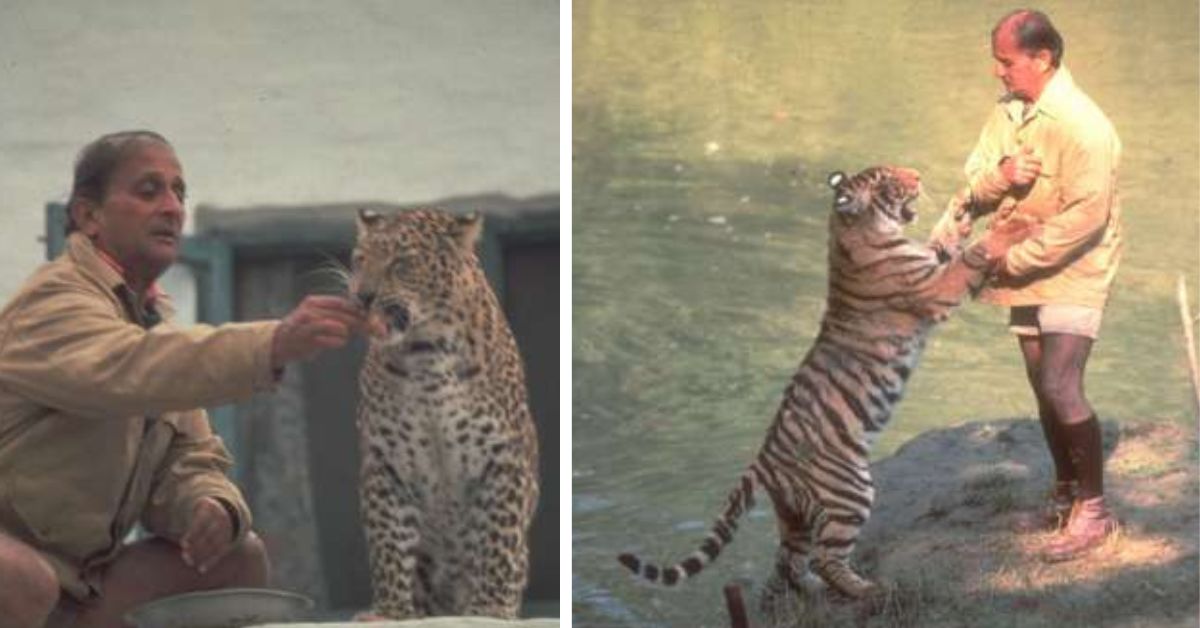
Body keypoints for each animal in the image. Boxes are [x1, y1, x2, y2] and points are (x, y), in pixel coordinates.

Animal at [616, 165, 1036, 606]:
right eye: (887, 179)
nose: (917, 175)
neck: (852, 233)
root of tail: (762, 461)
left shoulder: (933, 261)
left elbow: (951, 237)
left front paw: (999, 182)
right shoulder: (934, 288)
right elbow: (973, 254)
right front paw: (1013, 225)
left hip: (795, 517)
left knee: (787, 564)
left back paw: (811, 591)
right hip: (850, 491)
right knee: (825, 558)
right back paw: (868, 590)